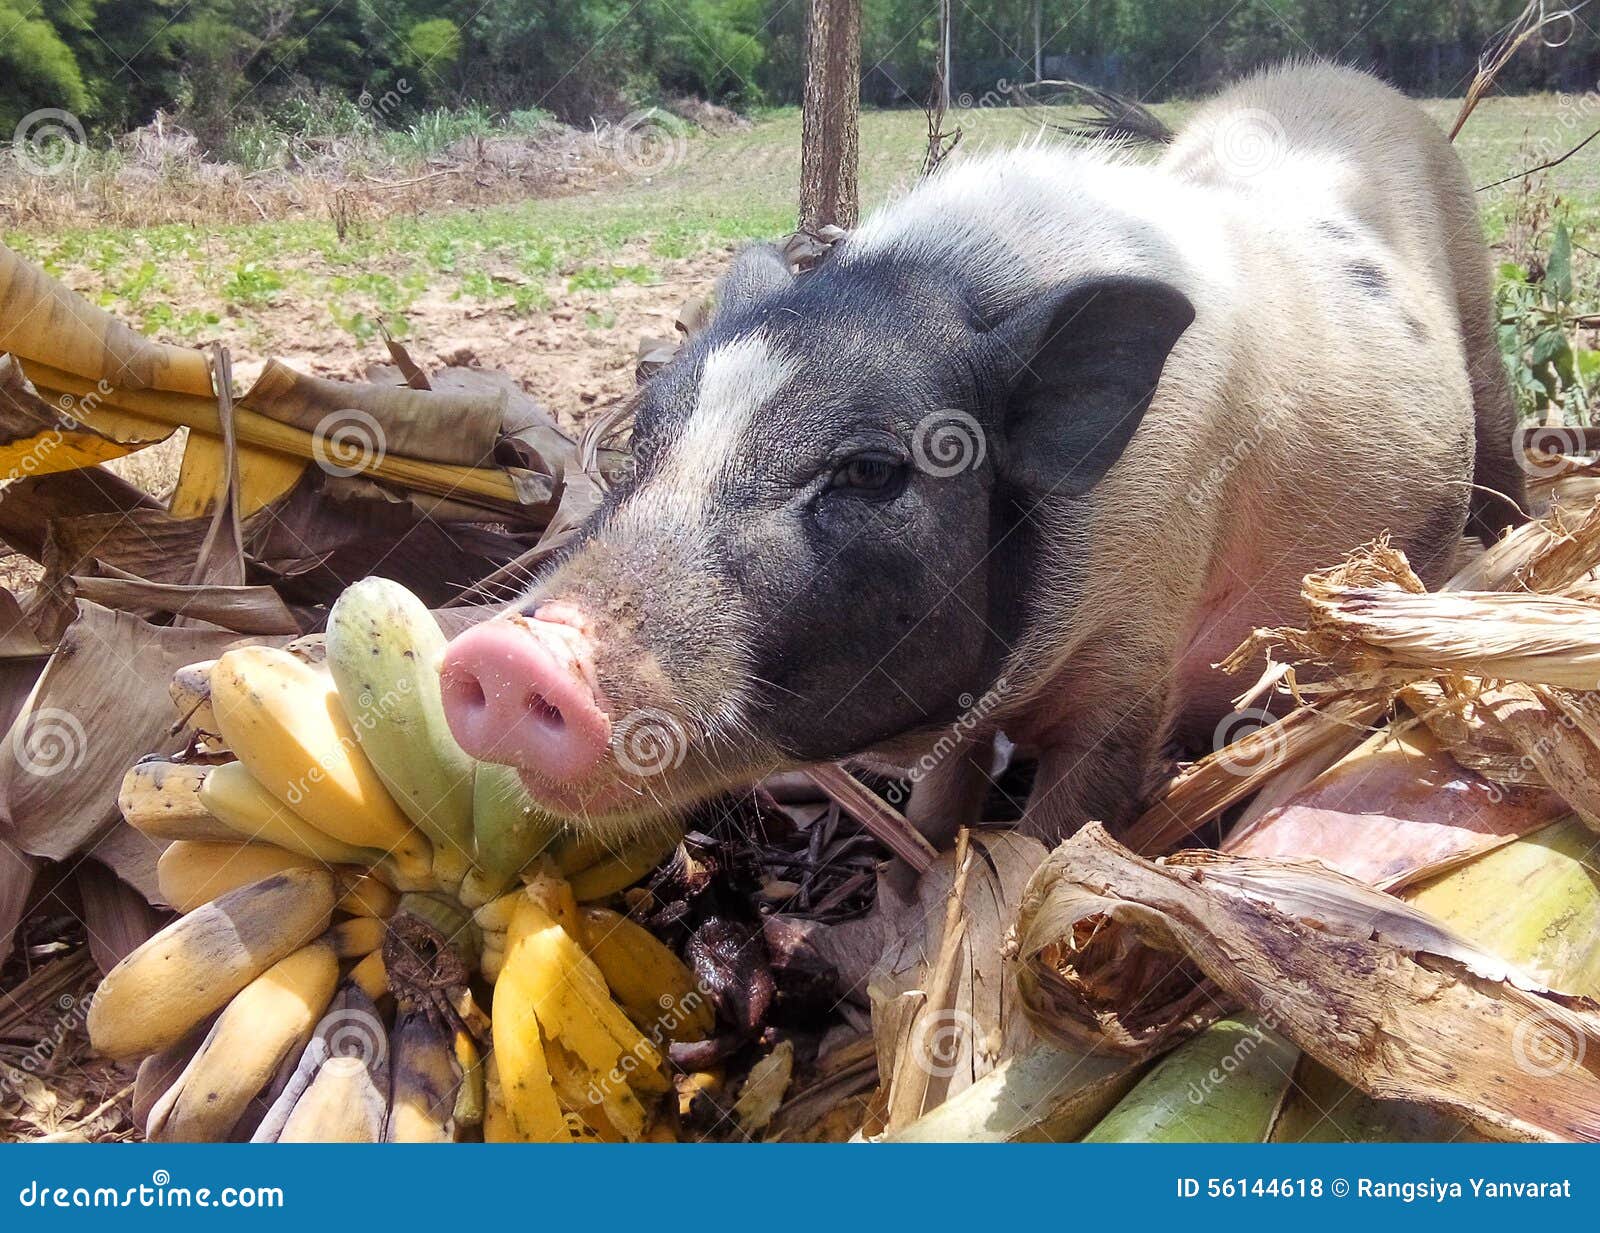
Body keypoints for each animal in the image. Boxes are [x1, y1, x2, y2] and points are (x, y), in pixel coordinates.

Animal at [440, 63, 1527, 849]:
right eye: (640, 445)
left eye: (871, 471)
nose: (507, 653)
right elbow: (946, 792)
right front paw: (924, 852)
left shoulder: (1140, 634)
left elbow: (1071, 817)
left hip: (1478, 322)